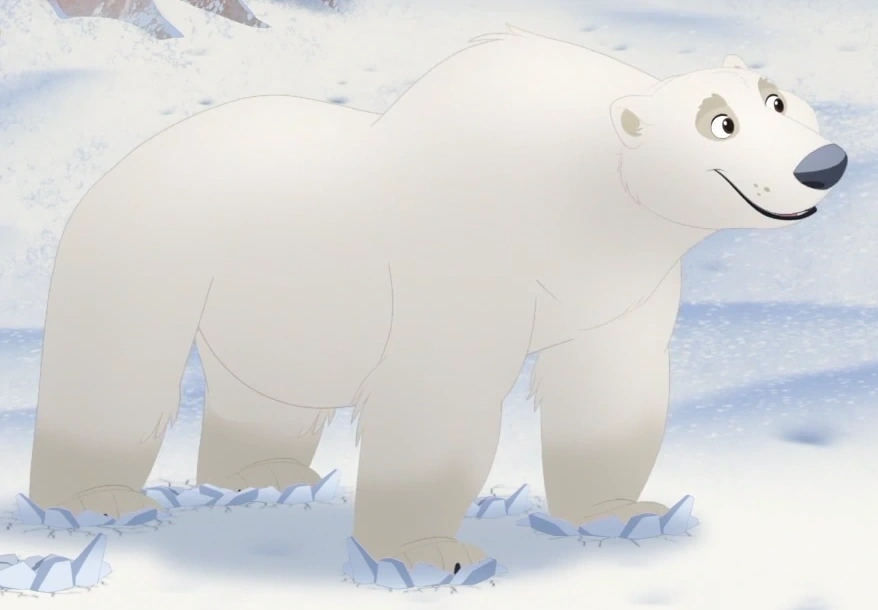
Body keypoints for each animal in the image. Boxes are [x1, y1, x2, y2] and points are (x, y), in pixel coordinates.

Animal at [29, 27, 847, 571]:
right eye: (720, 123)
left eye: (777, 100)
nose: (825, 162)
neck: (578, 198)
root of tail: (117, 168)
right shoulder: (471, 255)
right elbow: (439, 396)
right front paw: (426, 553)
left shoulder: (617, 284)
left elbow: (607, 386)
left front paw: (625, 517)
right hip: (151, 256)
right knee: (117, 376)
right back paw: (96, 498)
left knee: (269, 389)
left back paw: (267, 477)